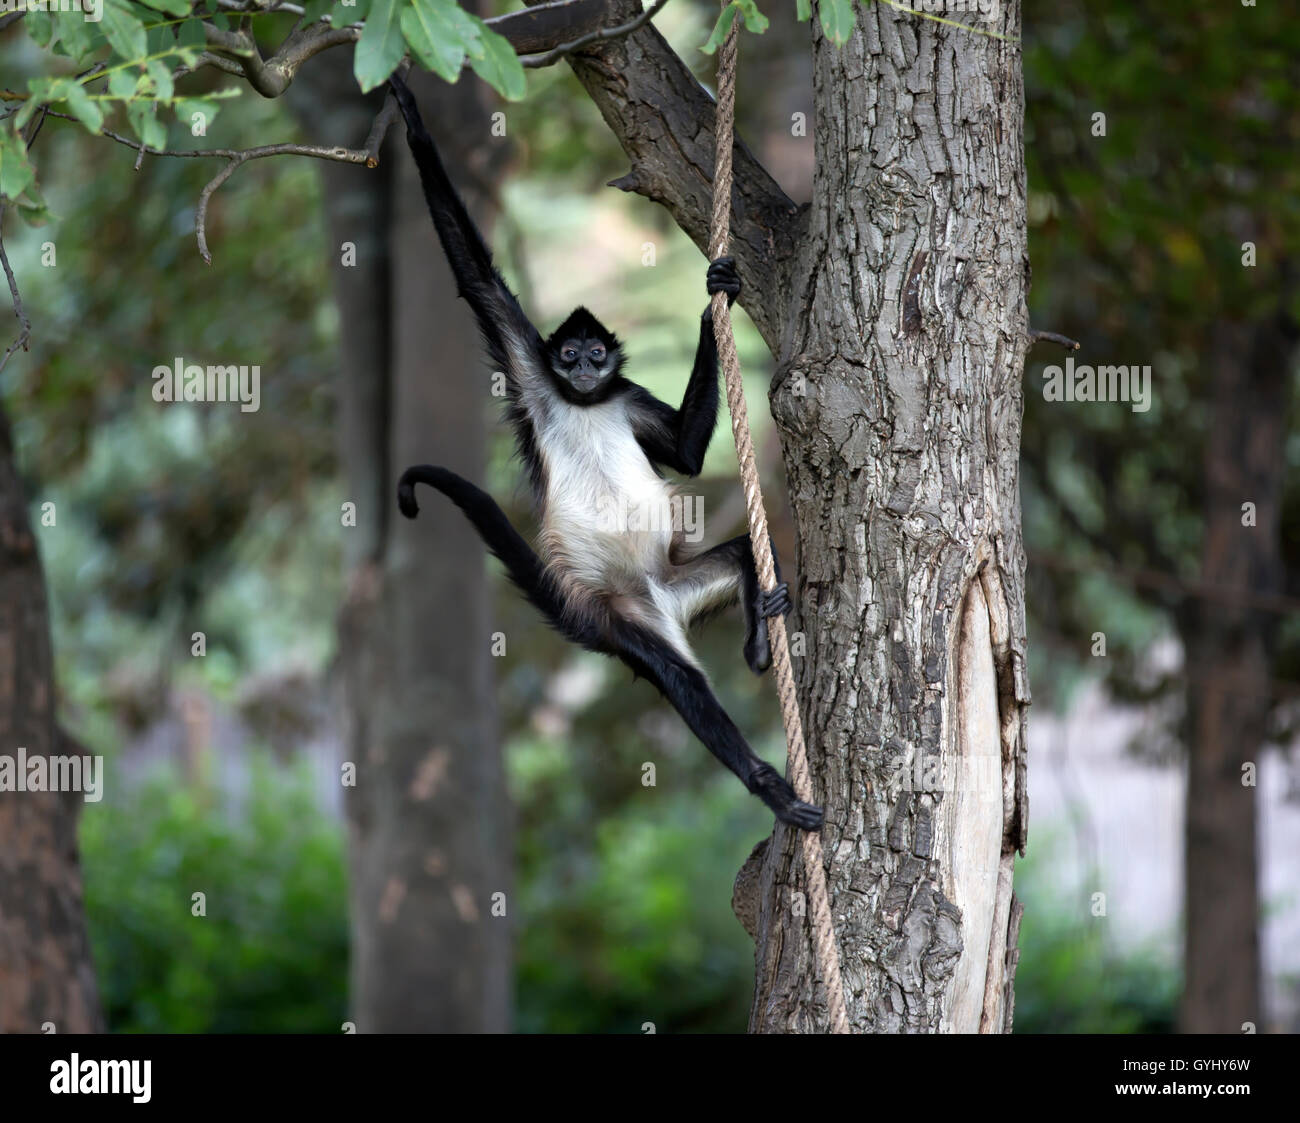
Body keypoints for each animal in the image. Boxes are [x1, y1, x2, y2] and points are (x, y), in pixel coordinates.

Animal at [389, 73, 822, 831]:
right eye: (569, 355)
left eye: (596, 355)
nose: (585, 368)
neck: (588, 403)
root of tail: (646, 599)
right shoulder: (533, 375)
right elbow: (477, 281)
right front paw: (412, 120)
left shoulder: (621, 393)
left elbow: (682, 454)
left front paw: (717, 295)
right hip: (628, 625)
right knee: (681, 681)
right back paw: (767, 782)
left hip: (679, 585)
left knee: (744, 552)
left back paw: (759, 642)